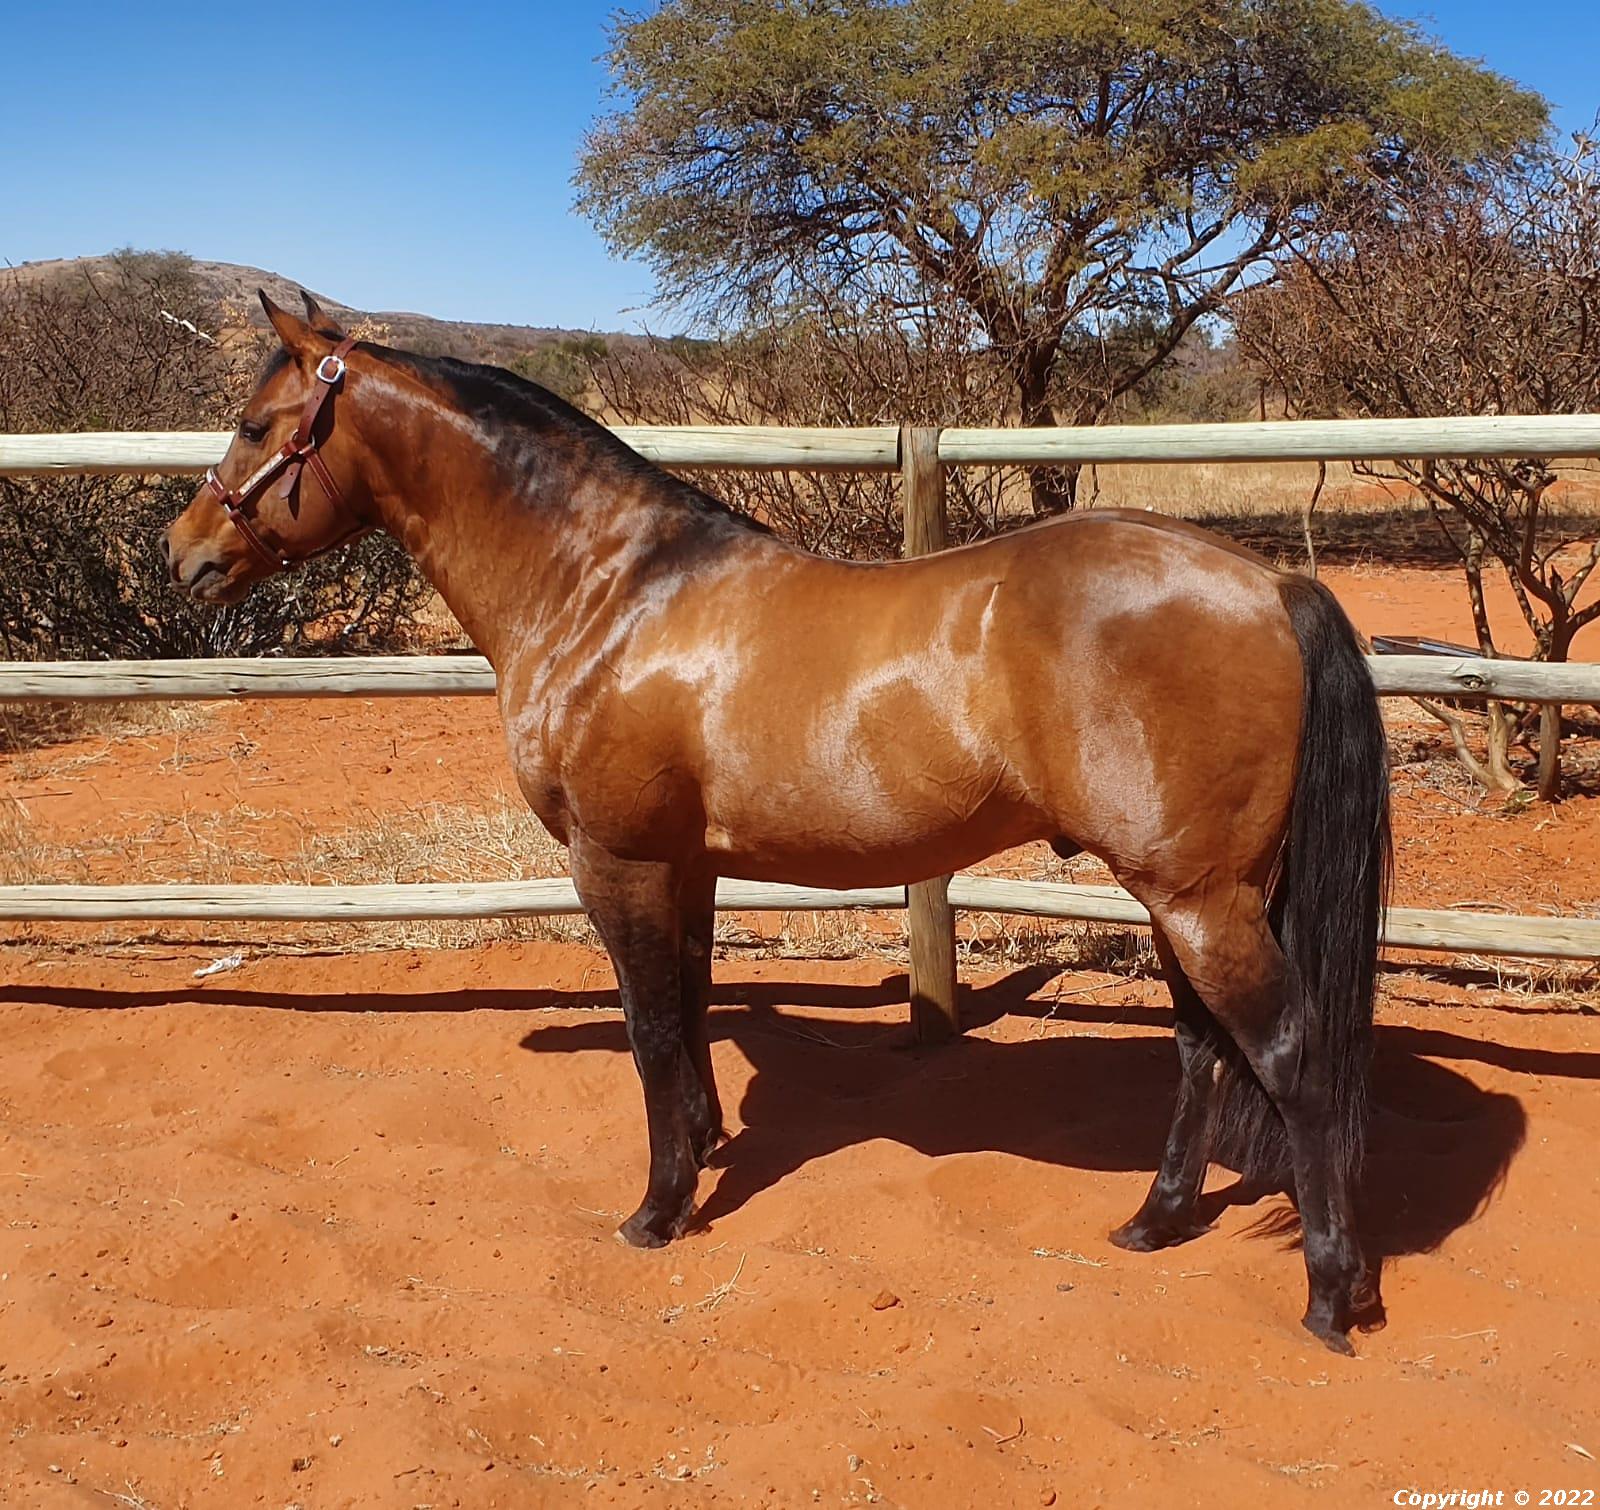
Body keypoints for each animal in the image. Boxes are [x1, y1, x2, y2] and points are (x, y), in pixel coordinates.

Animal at [162, 292, 1391, 1352]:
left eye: (256, 423)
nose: (184, 555)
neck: (608, 593)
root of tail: (1271, 582)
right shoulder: (687, 865)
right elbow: (692, 1003)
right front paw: (705, 1149)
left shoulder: (615, 861)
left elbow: (650, 1026)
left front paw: (658, 1209)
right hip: (1185, 893)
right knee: (1202, 1045)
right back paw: (1155, 1220)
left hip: (1199, 899)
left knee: (1289, 1053)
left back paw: (1331, 1294)